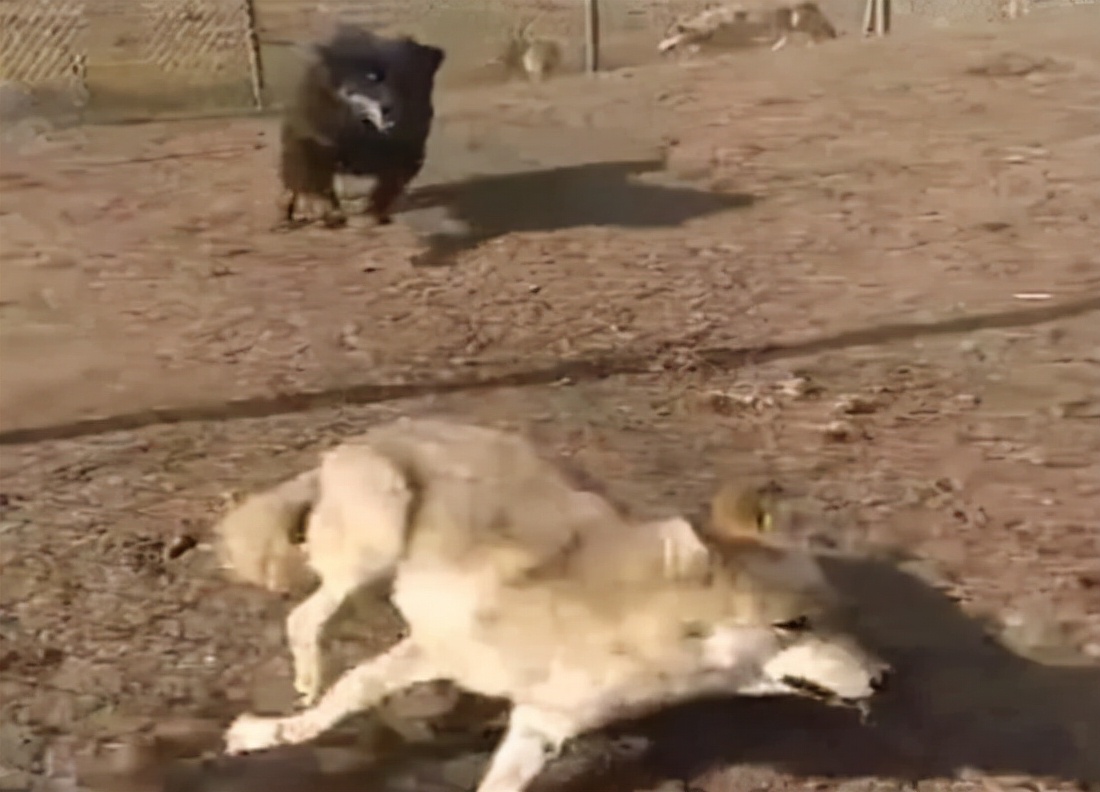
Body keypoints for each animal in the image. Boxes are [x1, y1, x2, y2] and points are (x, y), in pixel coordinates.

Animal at [214, 417, 890, 792]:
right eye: (791, 624)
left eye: (841, 615)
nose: (884, 678)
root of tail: (368, 435)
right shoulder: (432, 651)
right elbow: (345, 695)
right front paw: (268, 733)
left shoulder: (540, 727)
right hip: (378, 539)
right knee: (307, 614)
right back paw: (307, 672)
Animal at [278, 24, 445, 229]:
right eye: (367, 79)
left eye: (404, 79)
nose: (386, 109)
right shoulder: (312, 135)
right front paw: (318, 210)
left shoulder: (408, 149)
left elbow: (387, 184)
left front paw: (365, 216)